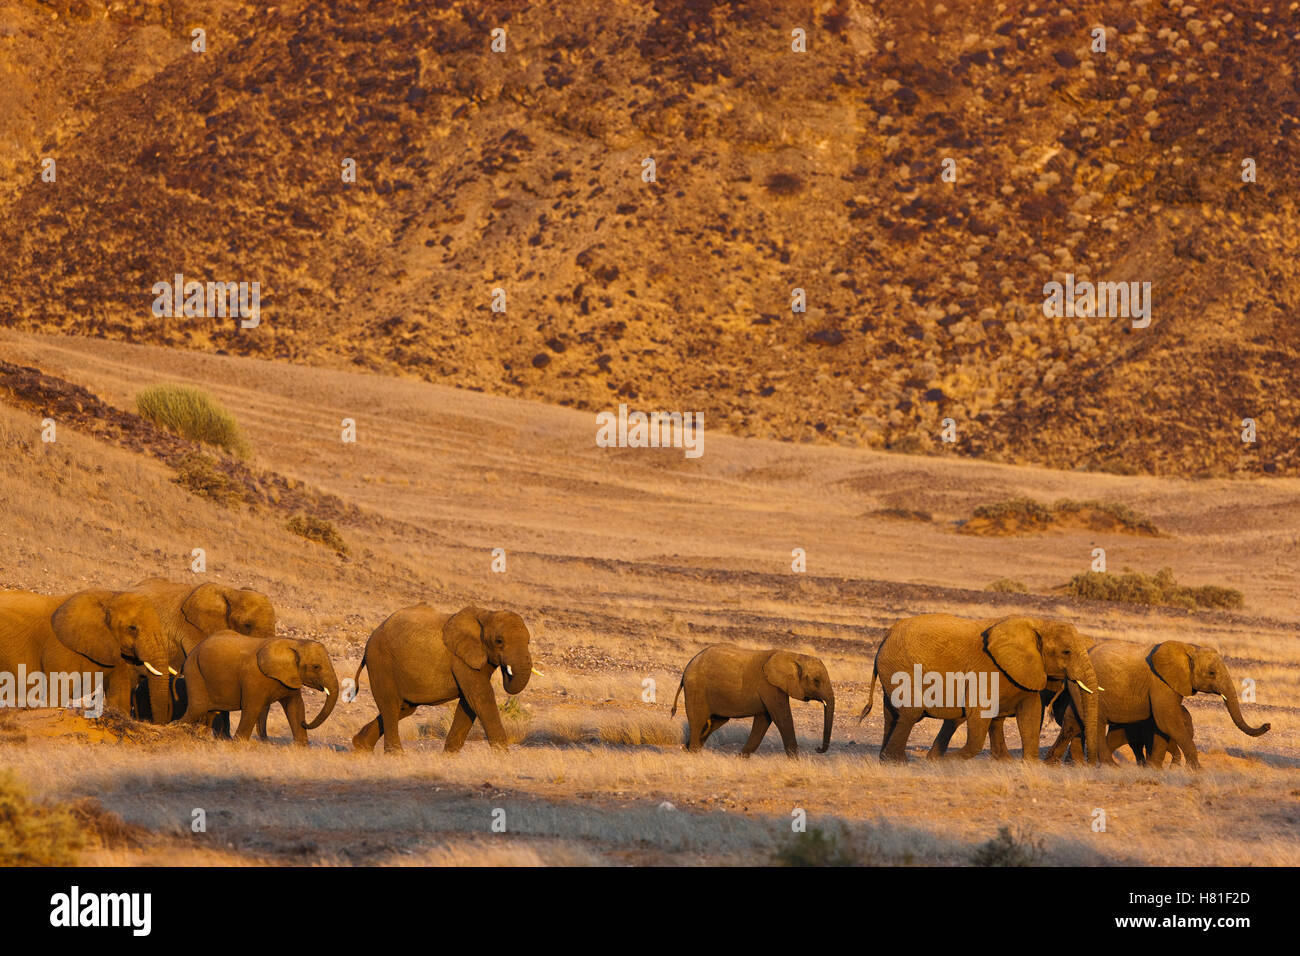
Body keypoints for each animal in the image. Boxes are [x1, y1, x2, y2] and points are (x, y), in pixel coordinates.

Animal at [179, 632, 339, 744]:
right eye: (316, 667)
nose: (305, 723)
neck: (296, 643)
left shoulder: (291, 677)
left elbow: (296, 706)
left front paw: (302, 746)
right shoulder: (253, 677)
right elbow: (252, 708)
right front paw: (238, 744)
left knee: (212, 711)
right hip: (194, 671)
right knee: (197, 708)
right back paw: (178, 732)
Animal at [351, 605, 534, 754]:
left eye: (528, 641)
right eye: (499, 641)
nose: (506, 669)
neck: (486, 614)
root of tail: (373, 635)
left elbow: (469, 703)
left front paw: (449, 757)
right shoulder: (461, 659)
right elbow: (480, 696)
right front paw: (503, 757)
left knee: (403, 708)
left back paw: (360, 746)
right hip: (381, 661)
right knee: (390, 705)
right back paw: (396, 755)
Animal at [670, 644, 834, 756]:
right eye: (816, 681)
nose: (817, 749)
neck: (794, 656)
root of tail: (688, 666)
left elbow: (764, 720)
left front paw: (741, 757)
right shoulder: (769, 685)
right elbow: (781, 717)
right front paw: (795, 760)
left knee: (713, 722)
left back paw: (689, 749)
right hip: (696, 688)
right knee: (698, 720)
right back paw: (692, 752)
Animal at [859, 614, 1102, 763]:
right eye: (1067, 652)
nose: (1093, 763)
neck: (1038, 623)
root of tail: (887, 635)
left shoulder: (1028, 672)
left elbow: (1030, 717)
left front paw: (1027, 764)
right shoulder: (986, 671)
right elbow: (980, 716)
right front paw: (947, 761)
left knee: (892, 714)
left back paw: (887, 760)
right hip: (900, 667)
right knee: (911, 712)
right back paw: (900, 761)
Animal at [1049, 641, 1268, 769]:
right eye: (1212, 673)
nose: (1267, 725)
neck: (1188, 648)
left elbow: (1162, 725)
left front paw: (1154, 769)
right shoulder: (1161, 683)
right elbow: (1167, 721)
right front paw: (1197, 771)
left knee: (1078, 721)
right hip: (1083, 687)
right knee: (1093, 721)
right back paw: (1109, 766)